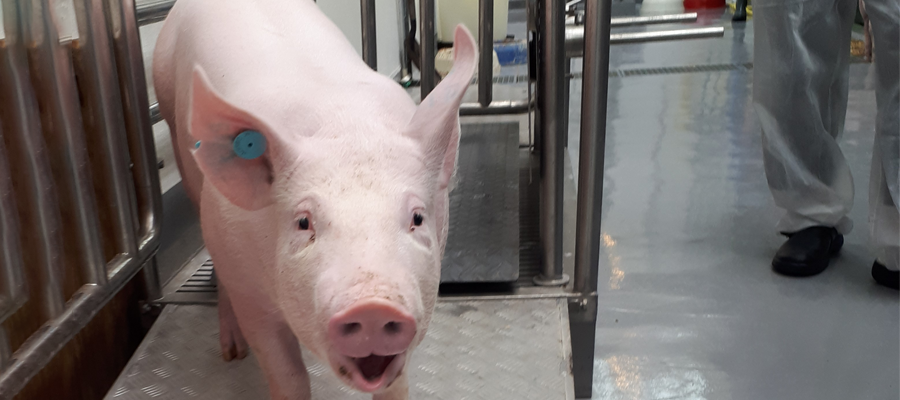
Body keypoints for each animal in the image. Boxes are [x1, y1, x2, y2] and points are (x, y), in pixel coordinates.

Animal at [151, 0, 477, 398]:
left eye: (417, 217)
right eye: (304, 222)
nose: (372, 307)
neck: (344, 125)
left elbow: (396, 381)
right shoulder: (251, 295)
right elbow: (287, 373)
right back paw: (232, 352)